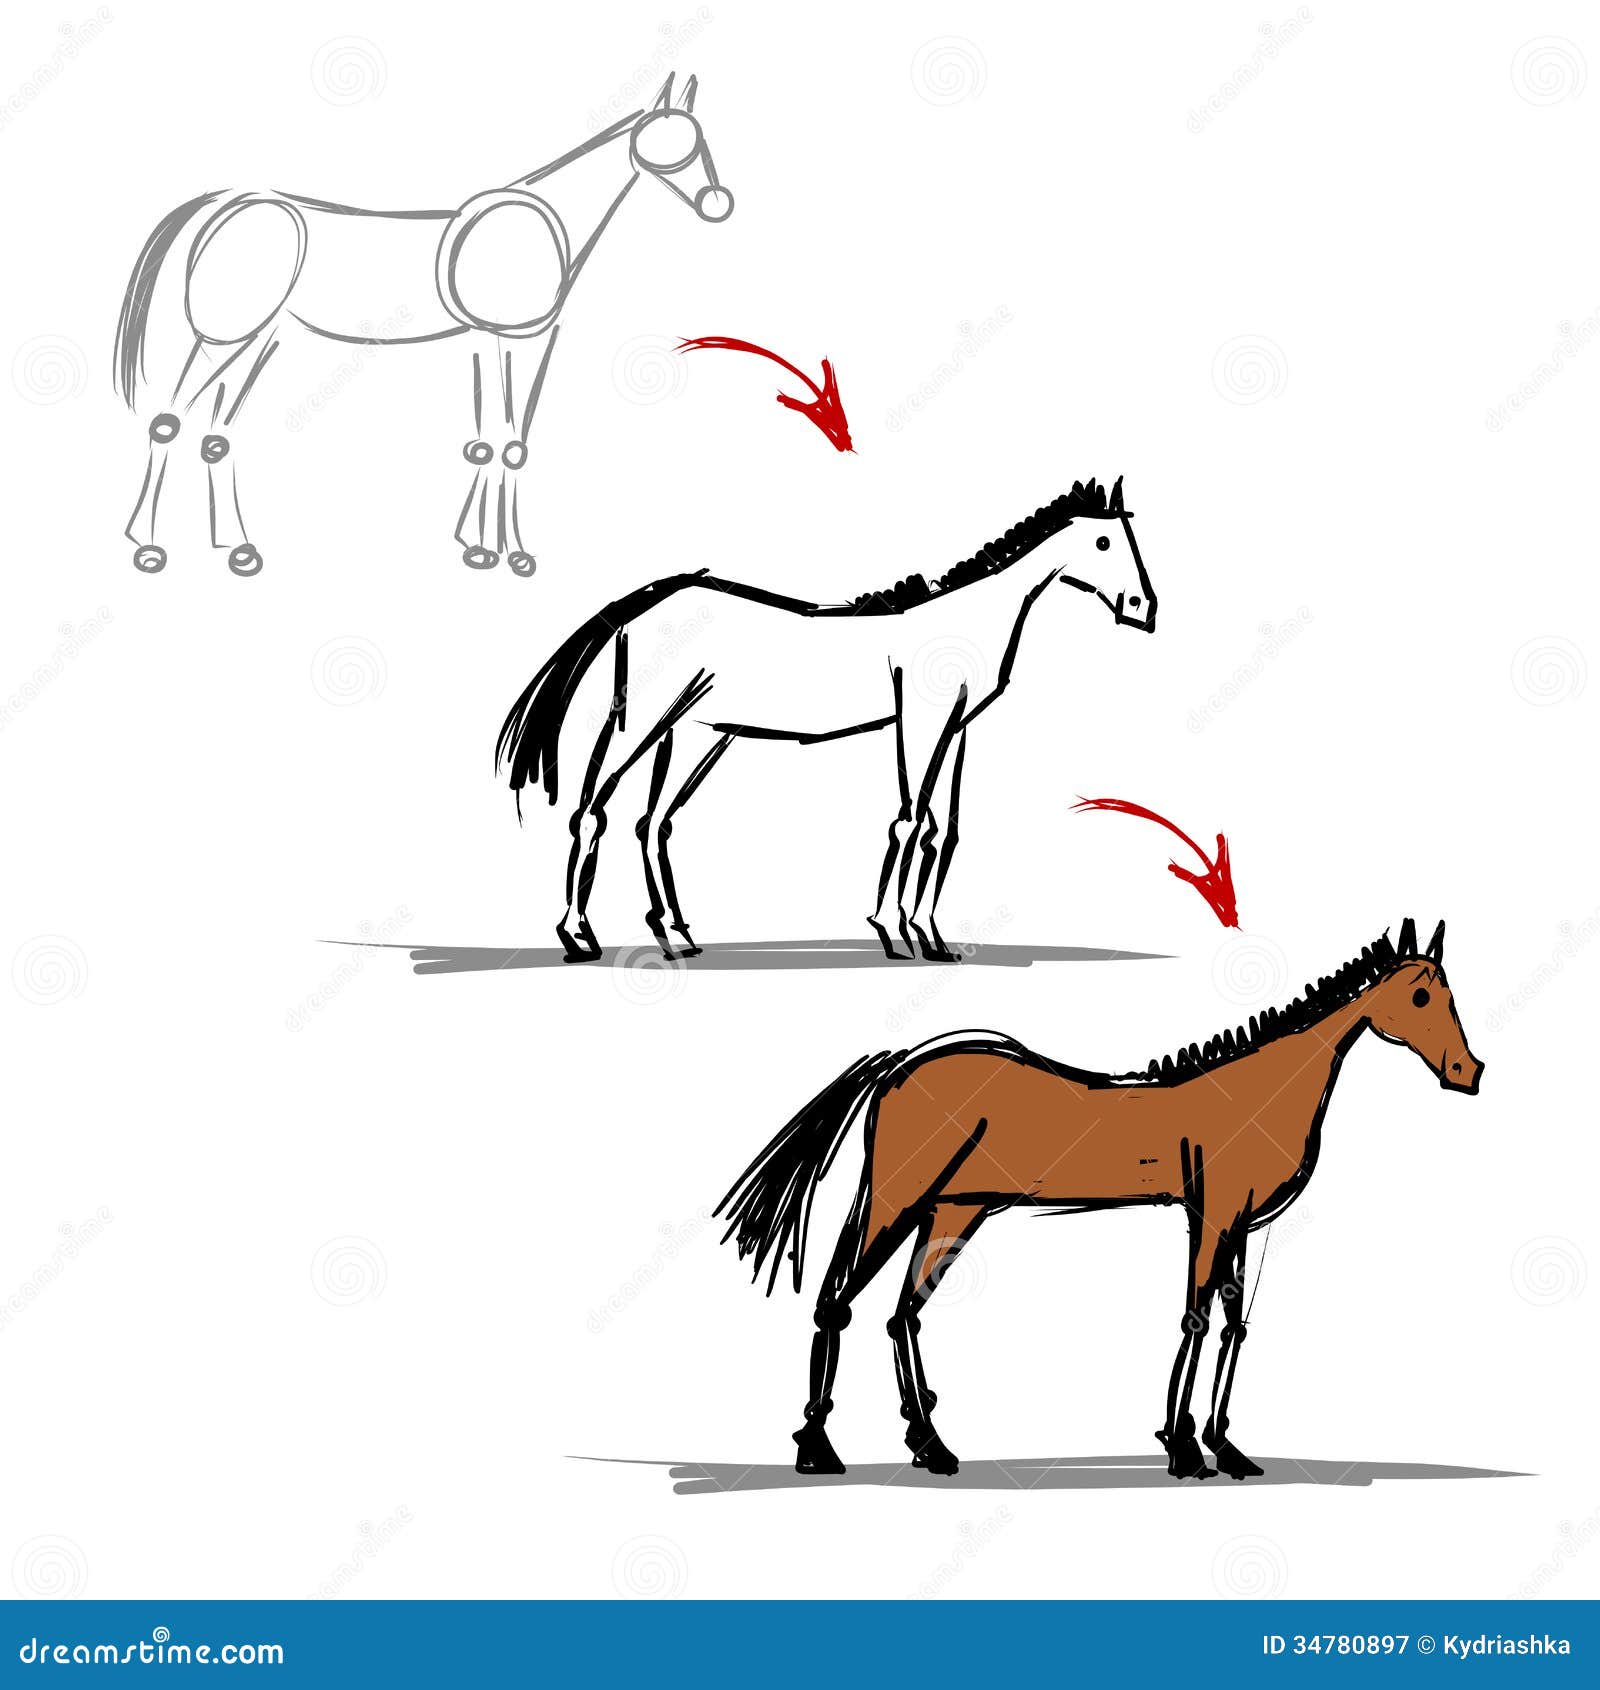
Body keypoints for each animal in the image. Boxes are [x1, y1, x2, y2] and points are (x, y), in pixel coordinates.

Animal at [112, 73, 730, 577]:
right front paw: (508, 554)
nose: (717, 203)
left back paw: (237, 551)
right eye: (667, 137)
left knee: (215, 434)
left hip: (259, 340)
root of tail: (224, 202)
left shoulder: (503, 341)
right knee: (169, 421)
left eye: (700, 138)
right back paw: (150, 550)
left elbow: (493, 442)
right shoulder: (512, 339)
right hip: (225, 339)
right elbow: (506, 443)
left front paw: (479, 549)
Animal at [494, 477, 1157, 962]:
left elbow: (944, 829)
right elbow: (910, 822)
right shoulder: (920, 721)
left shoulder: (958, 726)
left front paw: (932, 936)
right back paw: (579, 936)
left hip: (694, 736)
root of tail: (645, 602)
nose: (1144, 609)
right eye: (1105, 544)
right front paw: (894, 932)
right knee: (592, 813)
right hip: (641, 723)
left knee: (652, 823)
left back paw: (676, 935)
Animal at [716, 919, 1482, 1478]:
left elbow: (1232, 1326)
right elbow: (1195, 1319)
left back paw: (930, 1448)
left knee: (901, 1314)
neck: (1257, 1093)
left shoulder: (1236, 1223)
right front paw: (1182, 1449)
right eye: (1421, 997)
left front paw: (1226, 1449)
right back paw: (817, 1449)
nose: (1467, 1073)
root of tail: (899, 1063)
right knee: (837, 1299)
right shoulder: (1211, 1215)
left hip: (954, 1211)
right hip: (897, 1202)